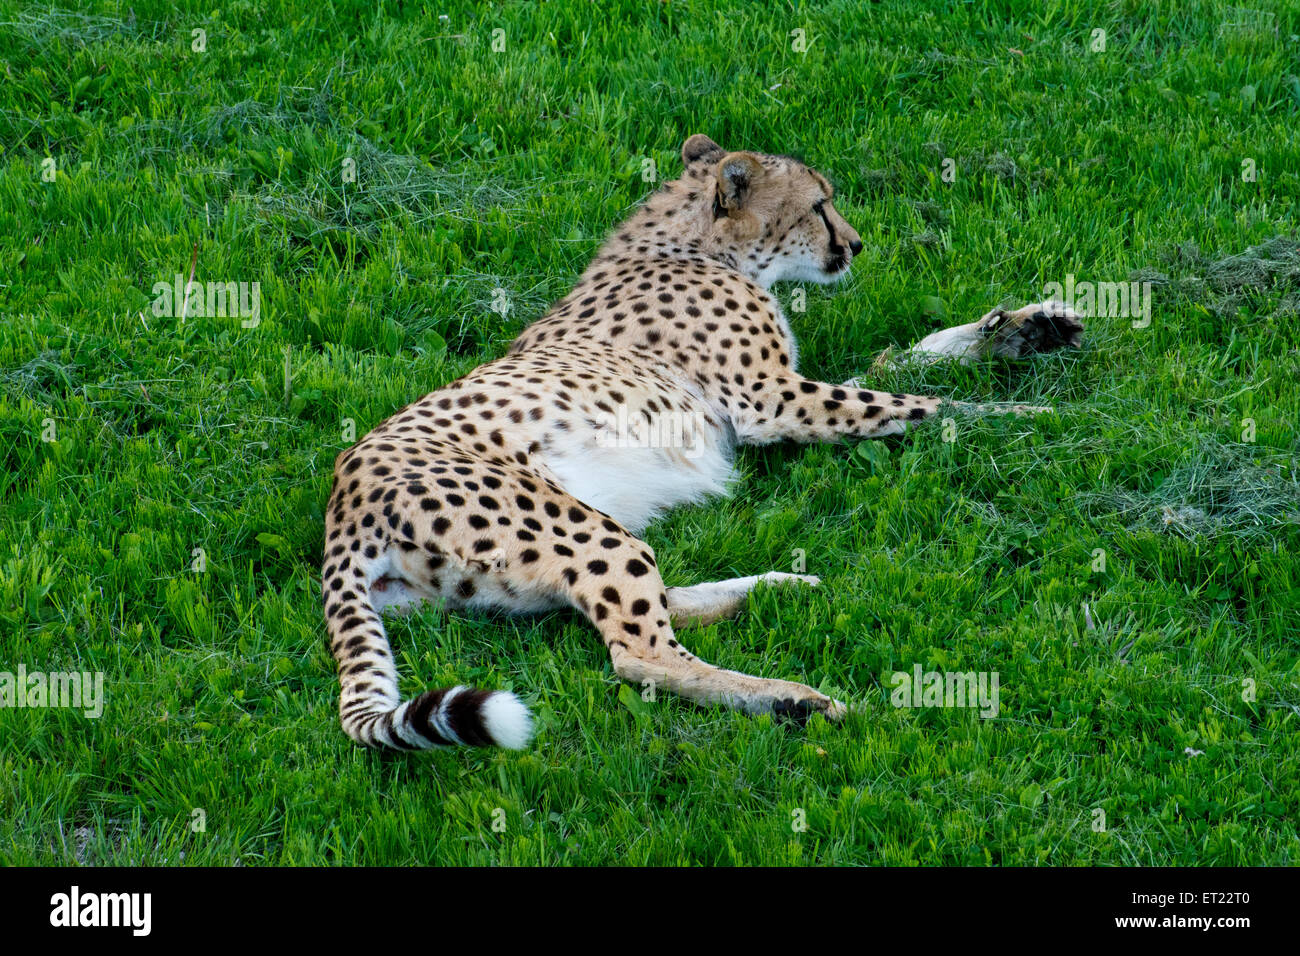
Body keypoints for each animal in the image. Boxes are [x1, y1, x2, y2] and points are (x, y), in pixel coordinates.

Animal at [320, 133, 1083, 751]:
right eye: (820, 205)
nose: (858, 245)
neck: (697, 244)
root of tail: (341, 502)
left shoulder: (787, 388)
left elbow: (901, 363)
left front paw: (1024, 329)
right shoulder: (770, 400)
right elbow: (923, 404)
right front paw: (1032, 416)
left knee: (629, 603)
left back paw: (780, 588)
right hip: (568, 522)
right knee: (639, 653)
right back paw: (790, 699)